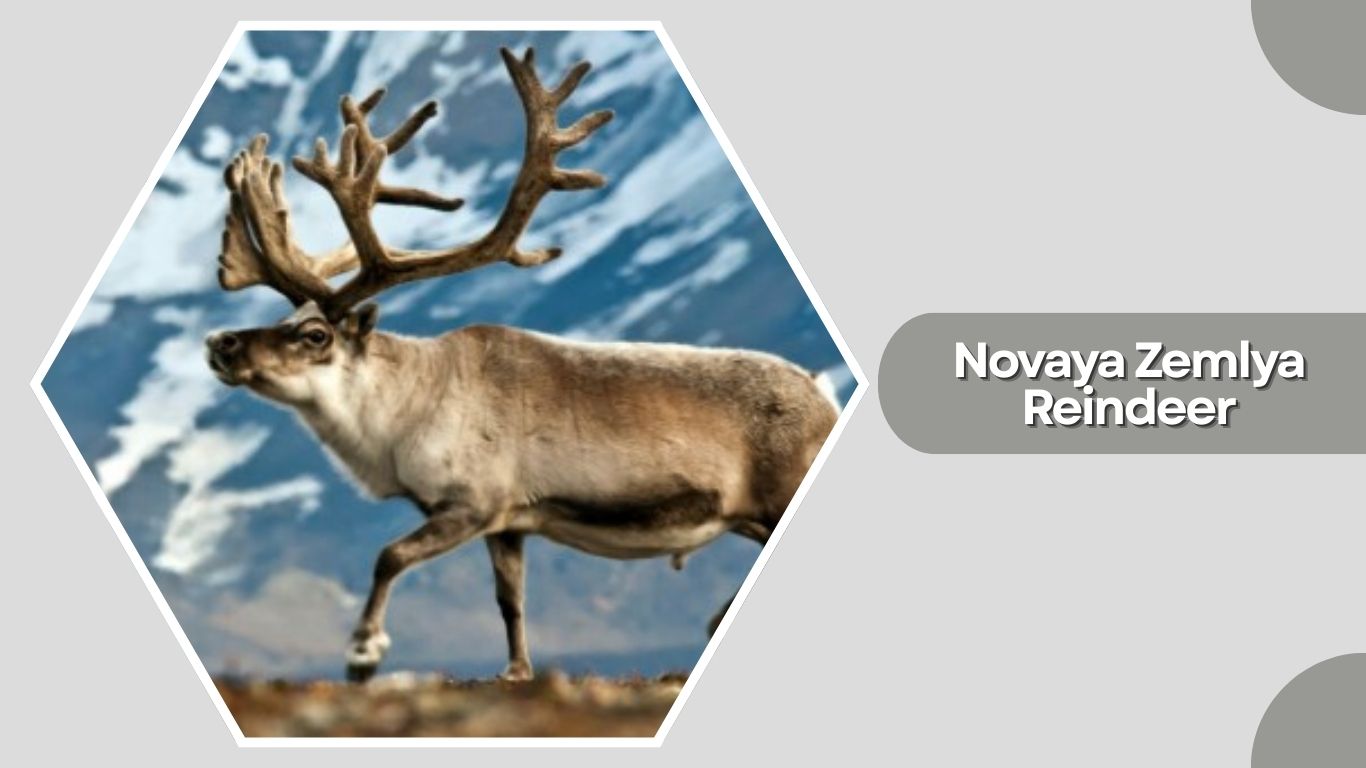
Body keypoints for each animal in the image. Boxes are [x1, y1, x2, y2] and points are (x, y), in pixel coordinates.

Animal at [203, 47, 839, 682]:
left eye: (314, 334)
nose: (220, 342)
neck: (402, 414)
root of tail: (824, 395)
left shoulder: (472, 503)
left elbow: (389, 556)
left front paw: (364, 651)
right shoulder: (508, 524)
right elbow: (509, 600)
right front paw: (517, 672)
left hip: (775, 501)